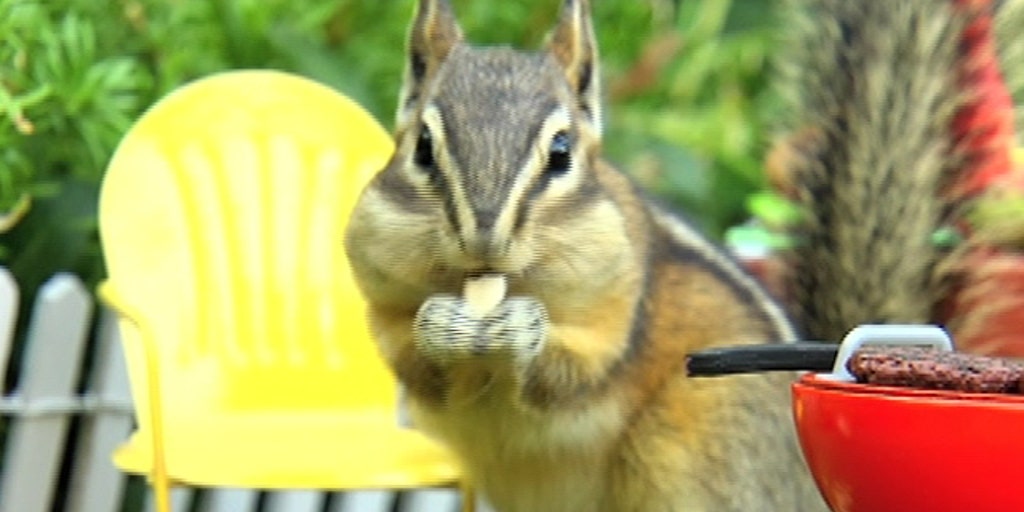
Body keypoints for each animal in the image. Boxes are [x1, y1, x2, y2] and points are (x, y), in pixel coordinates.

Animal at [344, 1, 825, 510]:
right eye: (422, 147)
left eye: (561, 152)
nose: (485, 241)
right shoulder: (384, 306)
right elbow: (415, 362)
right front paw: (438, 325)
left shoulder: (616, 307)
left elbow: (571, 374)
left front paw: (521, 328)